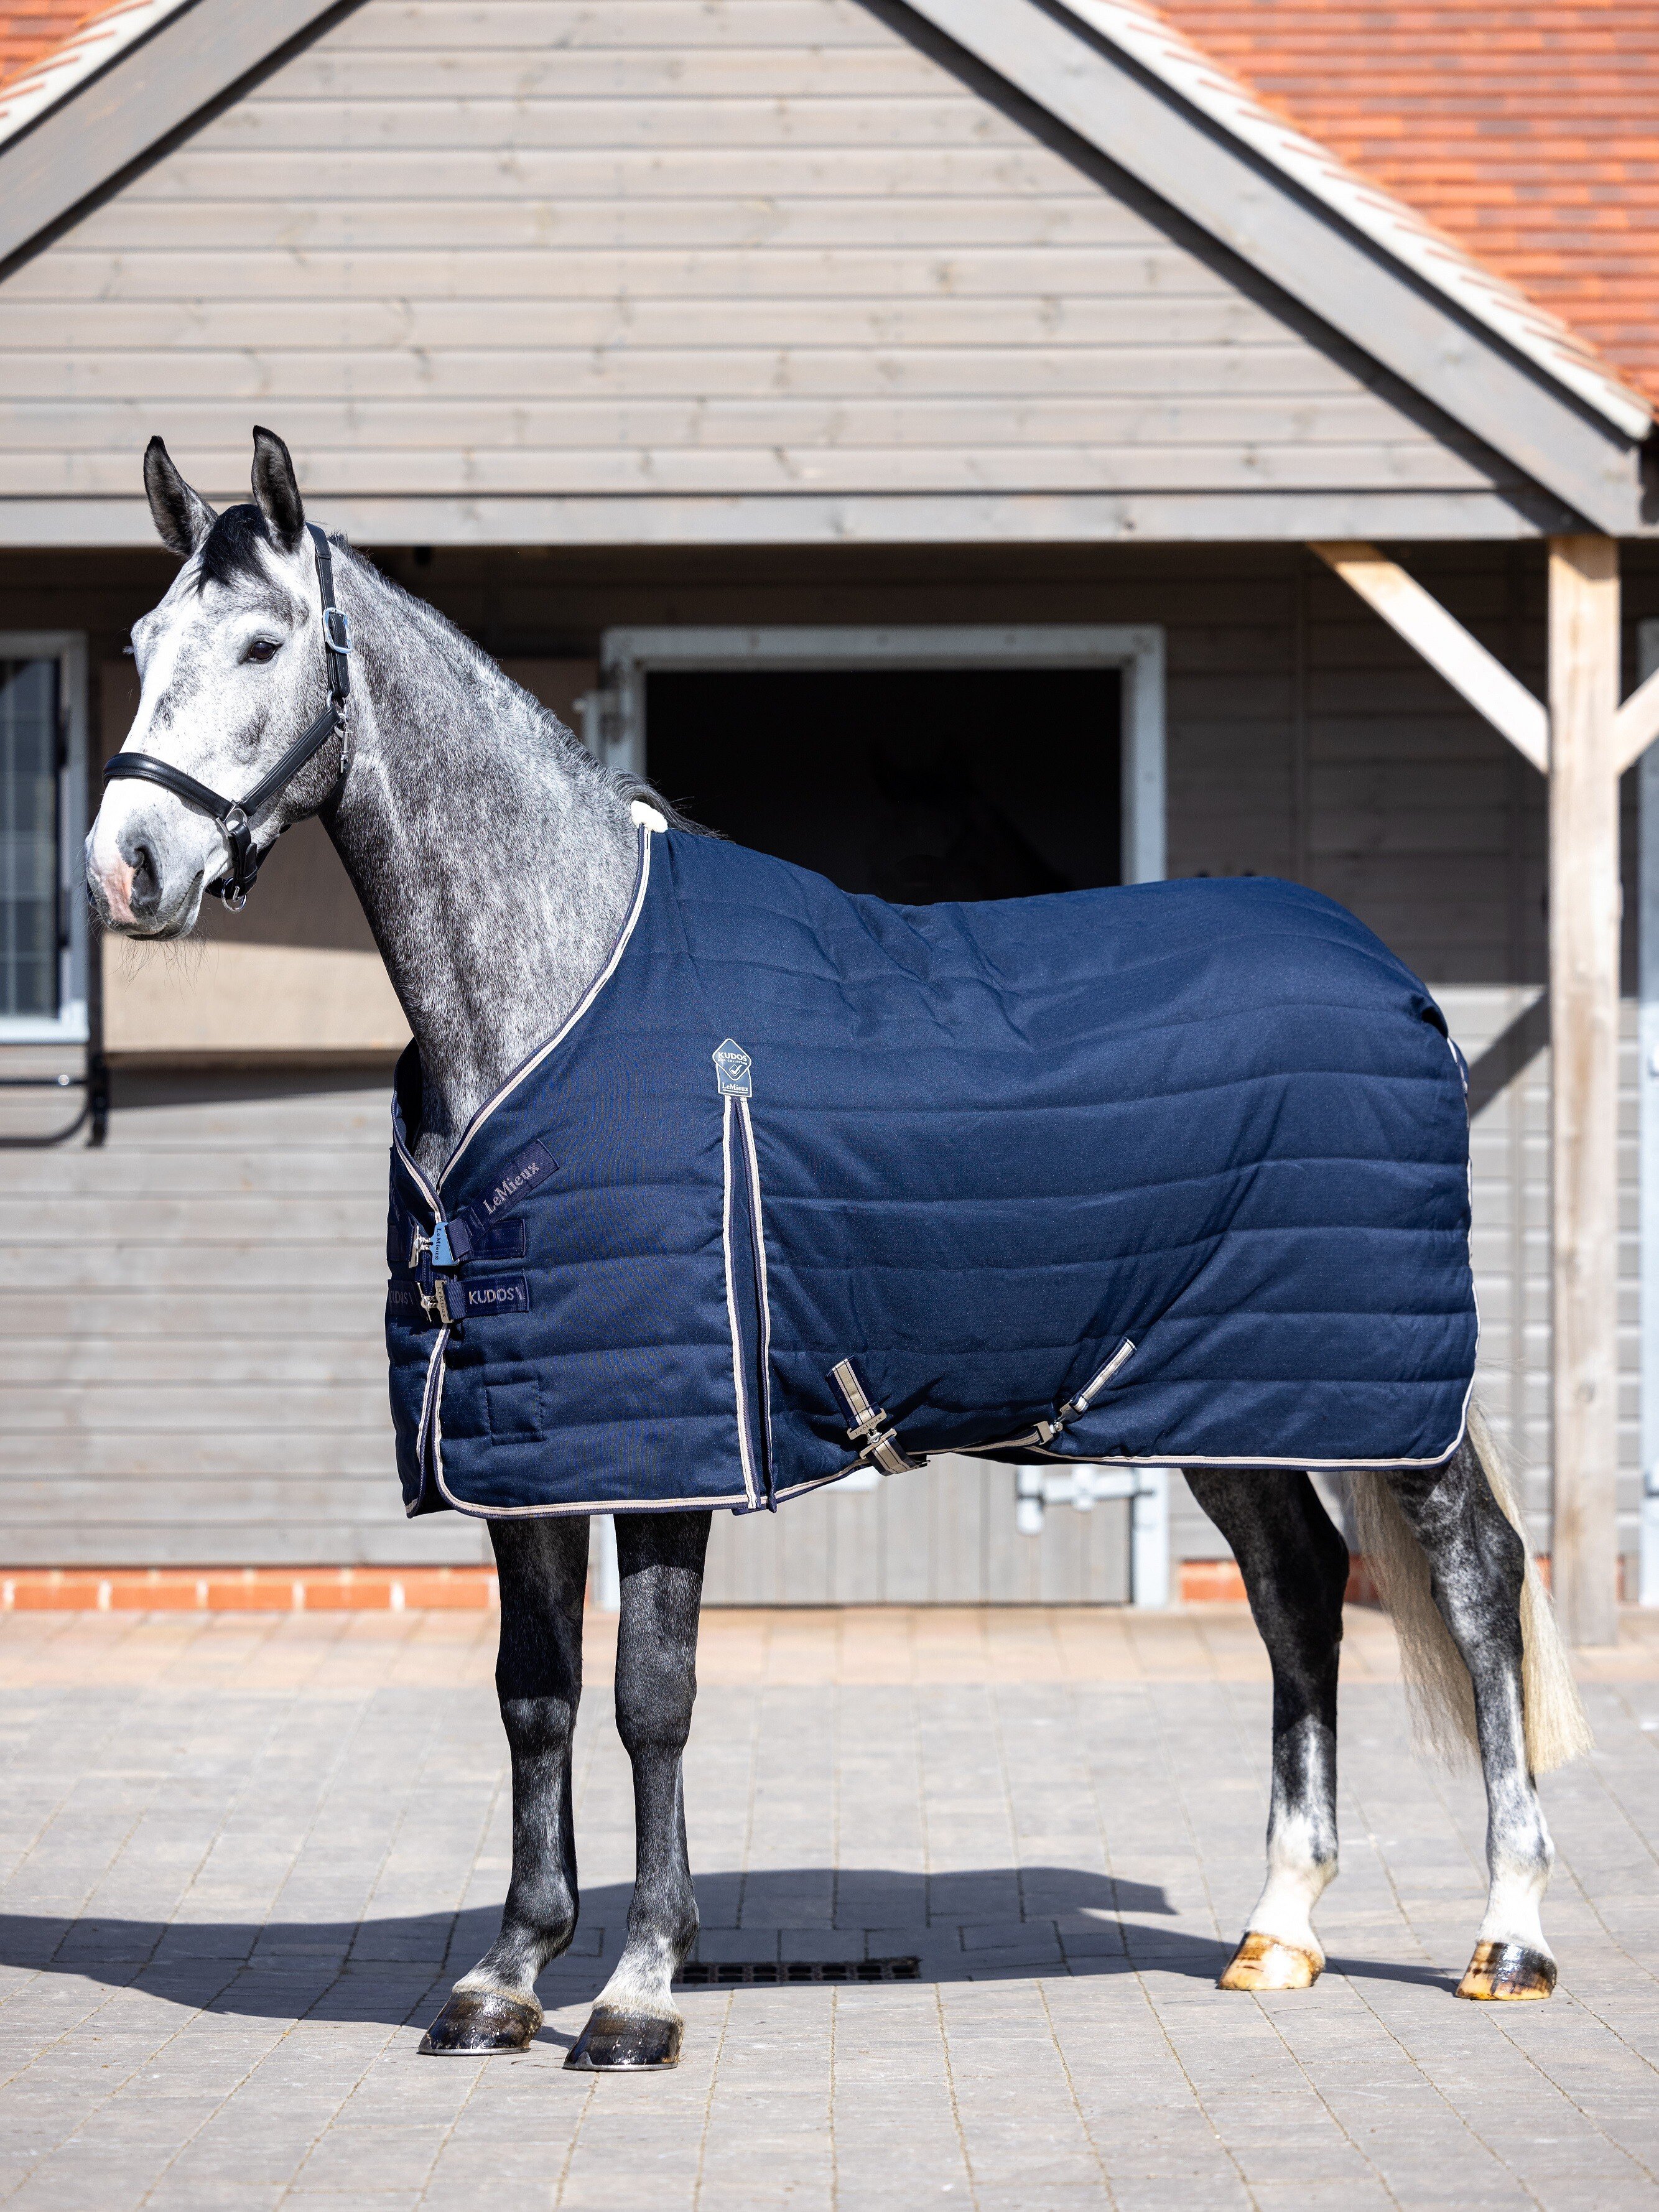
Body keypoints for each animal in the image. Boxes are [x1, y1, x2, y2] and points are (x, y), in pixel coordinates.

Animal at [86, 428, 1592, 2069]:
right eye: (141, 645)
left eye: (261, 644)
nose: (126, 866)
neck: (563, 990)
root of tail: (1390, 980)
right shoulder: (522, 1442)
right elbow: (532, 1695)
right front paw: (503, 1978)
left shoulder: (670, 1443)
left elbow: (650, 1696)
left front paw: (637, 1990)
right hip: (1220, 1394)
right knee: (1299, 1587)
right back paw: (1279, 1929)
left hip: (1371, 1391)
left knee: (1474, 1578)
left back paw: (1510, 1935)